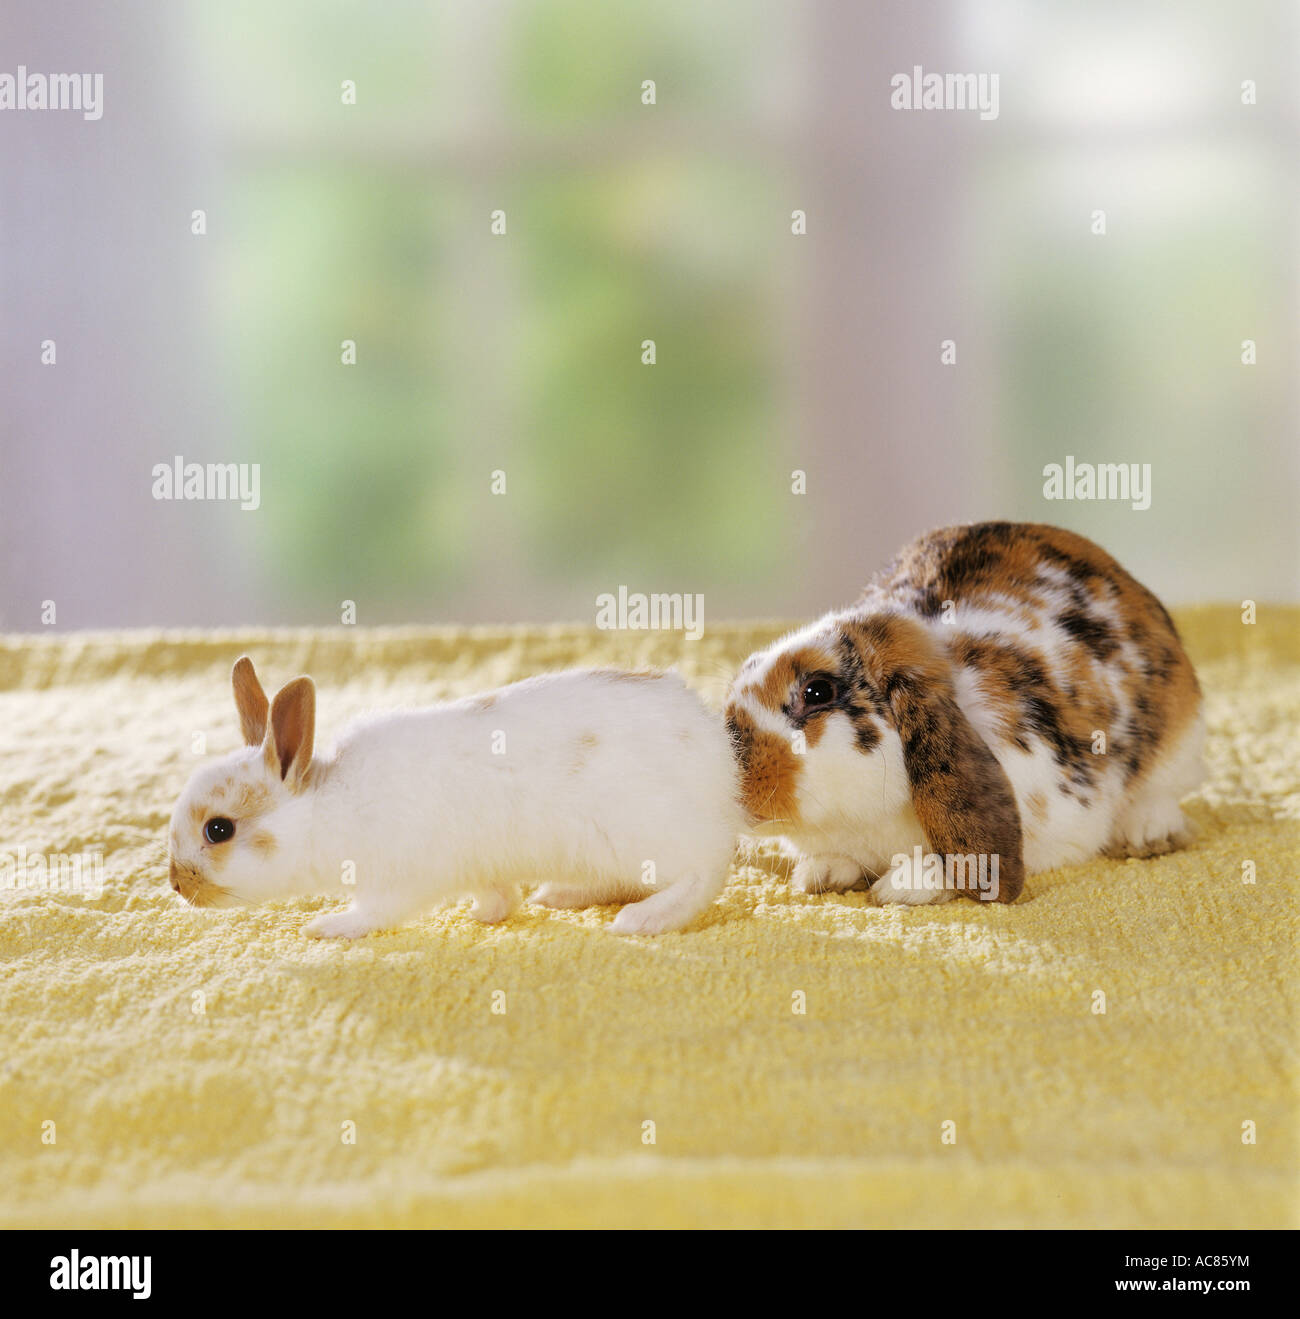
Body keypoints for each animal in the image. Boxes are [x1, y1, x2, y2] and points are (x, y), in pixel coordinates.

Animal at [167, 658, 742, 937]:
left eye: (218, 829)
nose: (175, 884)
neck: (320, 810)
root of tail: (719, 766)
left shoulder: (398, 881)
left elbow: (373, 914)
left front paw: (327, 927)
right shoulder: (480, 863)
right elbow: (498, 894)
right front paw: (488, 914)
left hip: (649, 839)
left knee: (704, 875)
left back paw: (643, 921)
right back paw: (557, 895)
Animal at [724, 521, 1205, 905]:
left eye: (817, 691)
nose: (733, 776)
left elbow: (967, 864)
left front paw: (903, 886)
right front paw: (819, 874)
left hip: (1181, 743)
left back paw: (1148, 832)